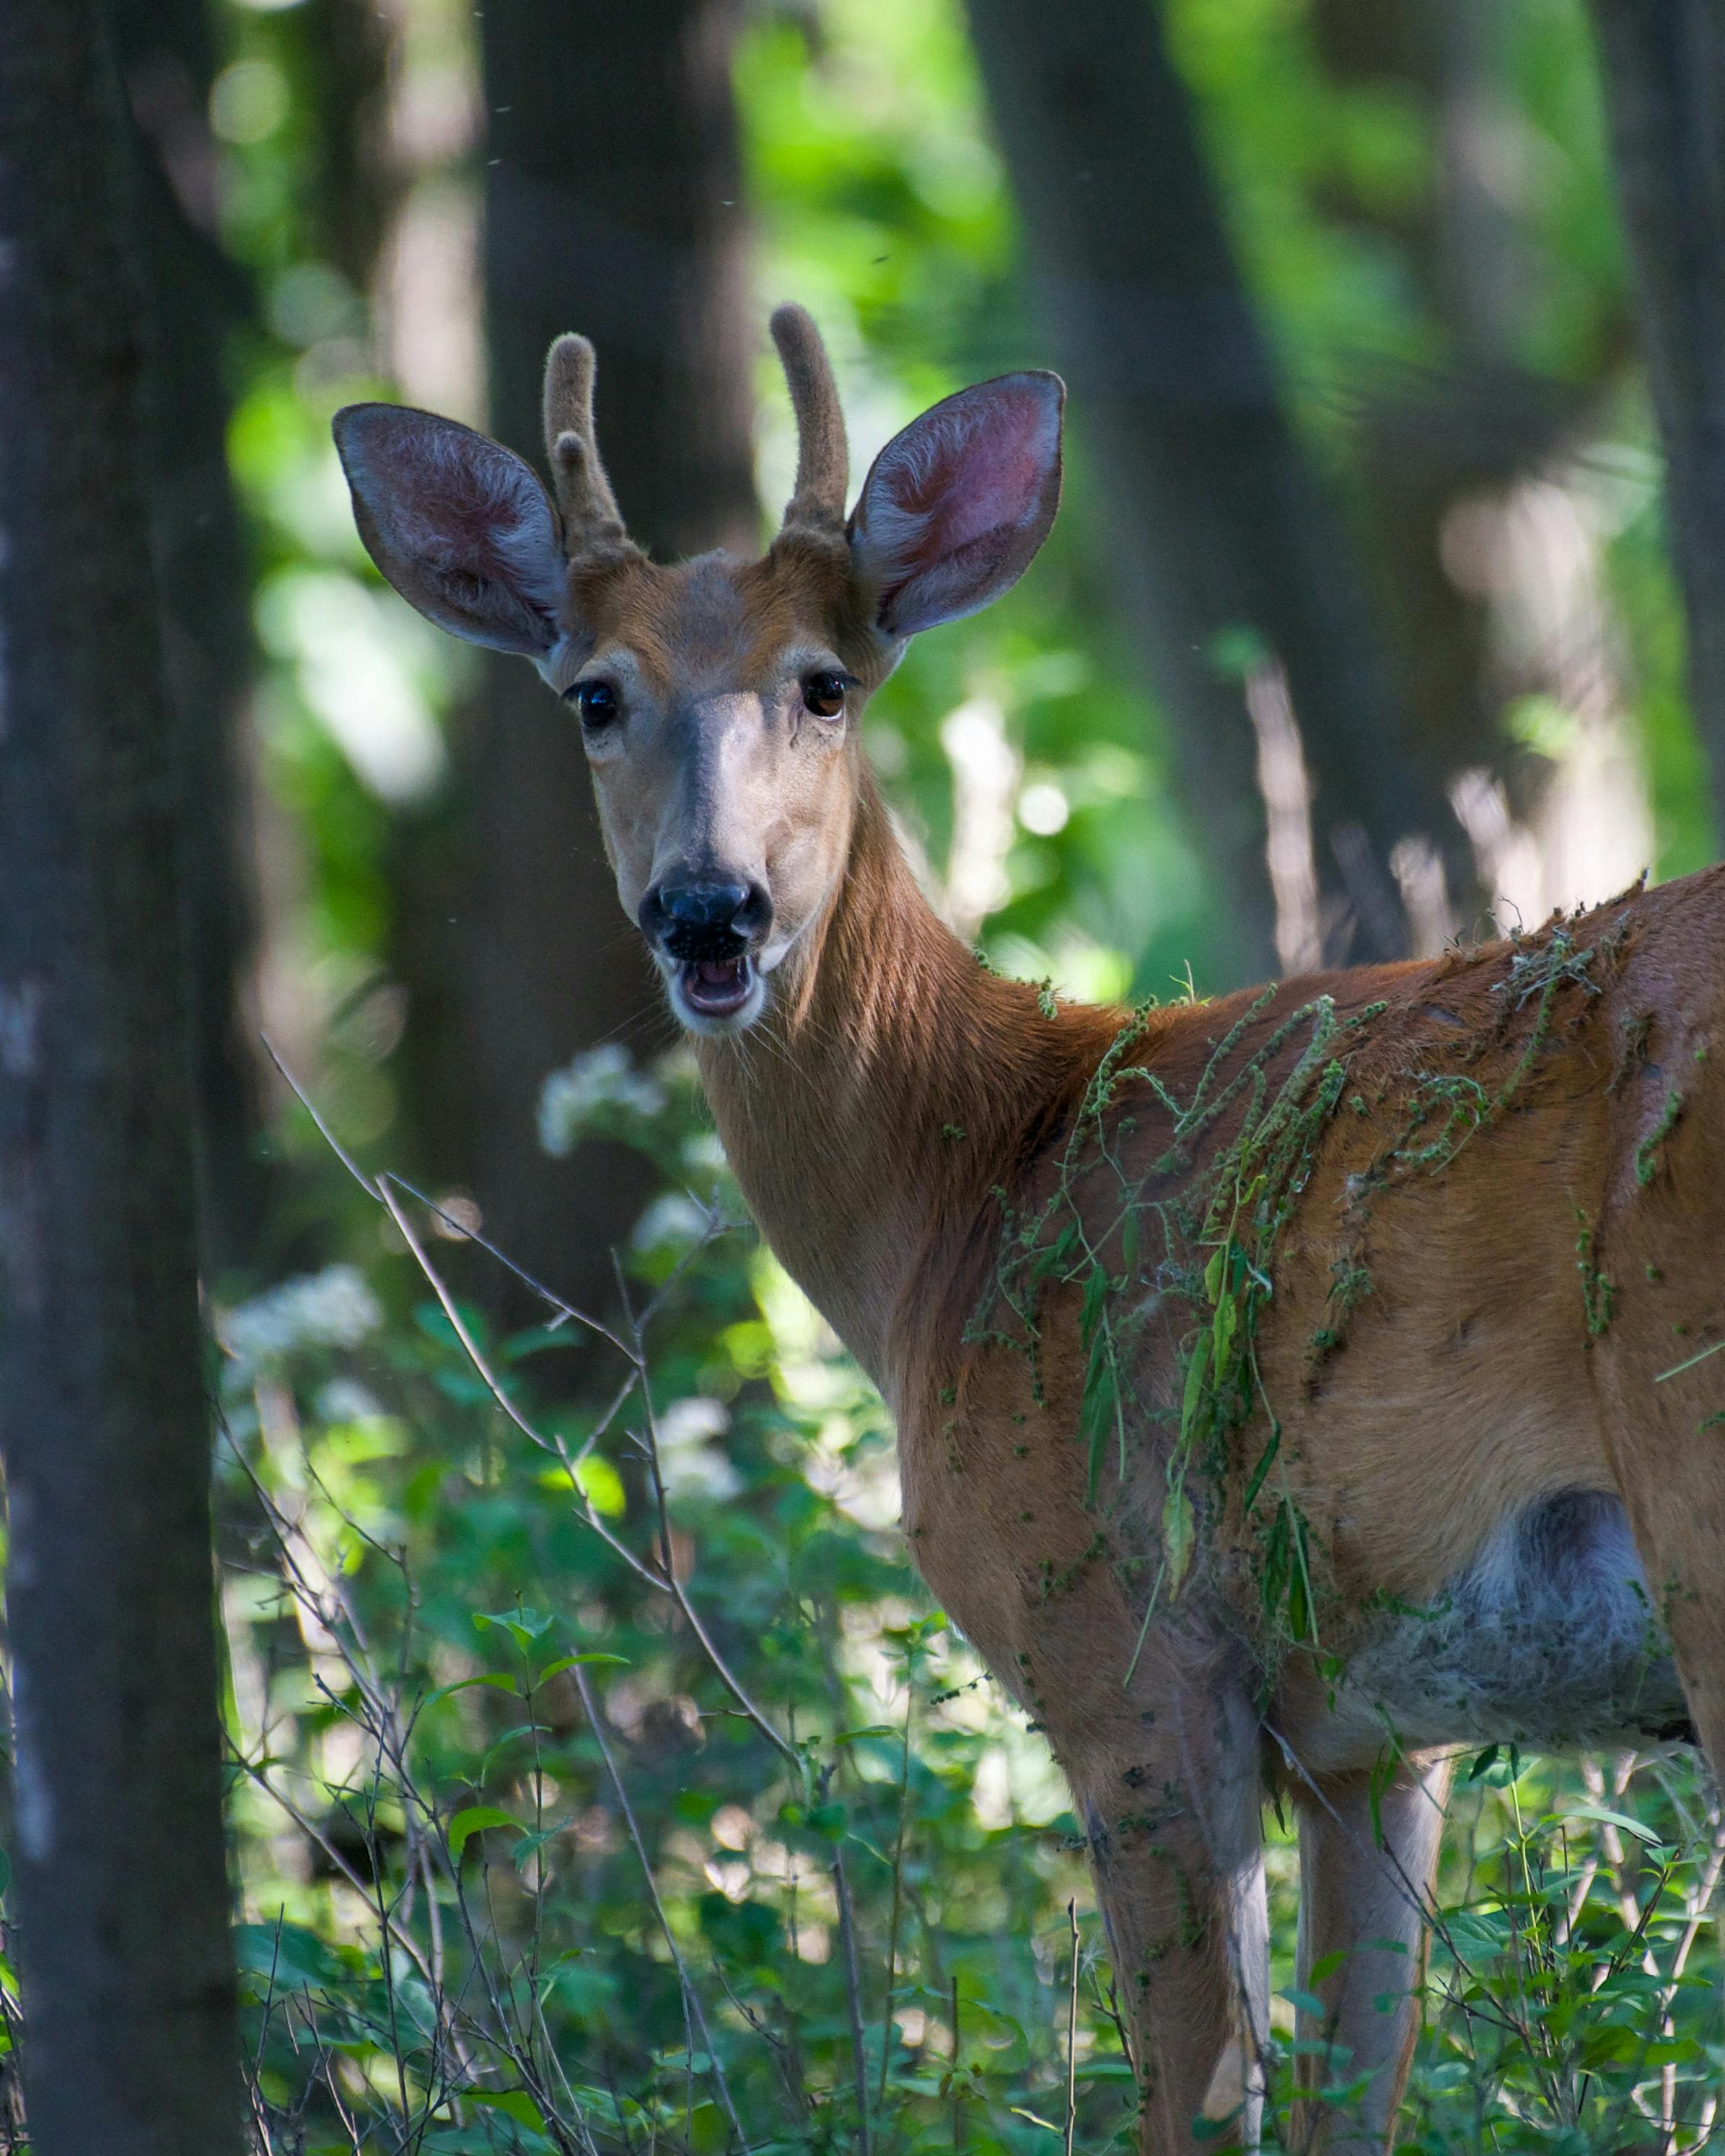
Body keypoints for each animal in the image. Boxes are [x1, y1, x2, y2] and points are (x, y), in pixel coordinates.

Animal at [333, 307, 1725, 2152]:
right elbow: (1353, 2096)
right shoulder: (1370, 1730)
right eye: (592, 694)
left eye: (824, 682)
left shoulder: (1113, 1641)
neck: (962, 1194)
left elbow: (1195, 2103)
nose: (708, 911)